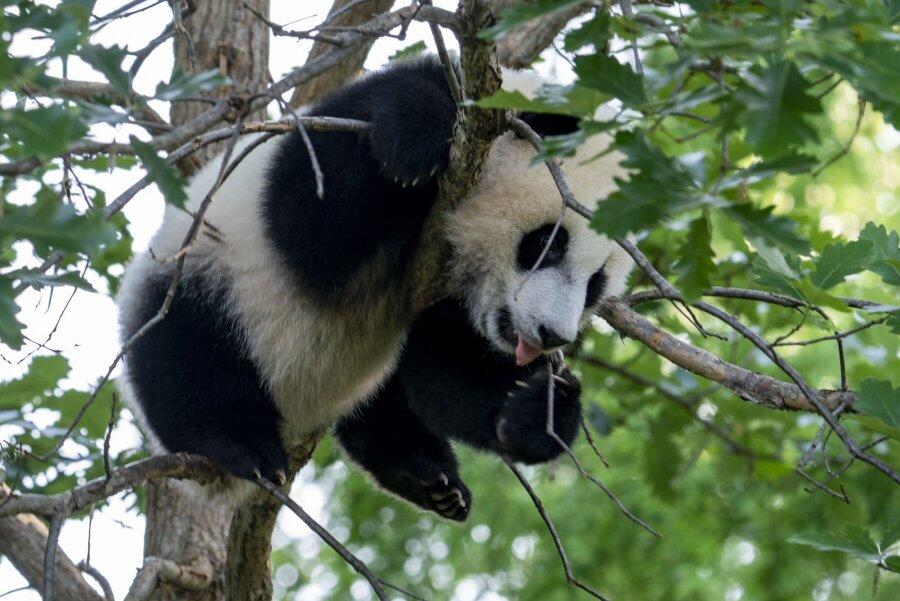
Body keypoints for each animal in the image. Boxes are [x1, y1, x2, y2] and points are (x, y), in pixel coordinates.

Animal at [116, 56, 633, 521]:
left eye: (596, 284)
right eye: (547, 243)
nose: (553, 335)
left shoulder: (441, 308)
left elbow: (443, 370)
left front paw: (539, 411)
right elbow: (318, 214)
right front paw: (415, 144)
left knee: (387, 405)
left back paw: (429, 478)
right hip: (203, 272)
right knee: (186, 356)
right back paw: (240, 444)